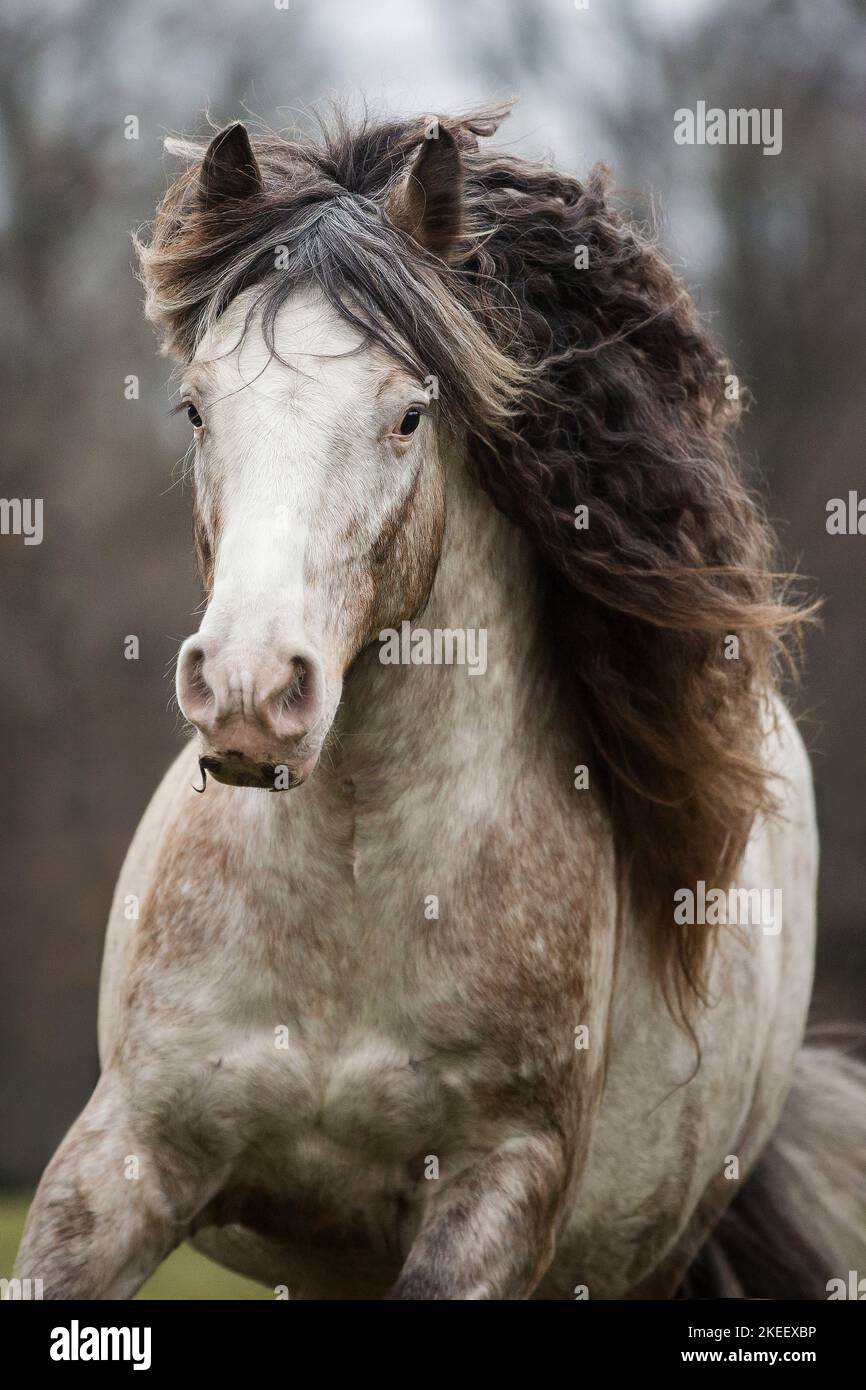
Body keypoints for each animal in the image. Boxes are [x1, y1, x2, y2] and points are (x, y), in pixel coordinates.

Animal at [15, 104, 866, 1300]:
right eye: (193, 407)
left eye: (410, 415)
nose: (246, 691)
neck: (356, 889)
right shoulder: (123, 1154)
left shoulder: (497, 1193)